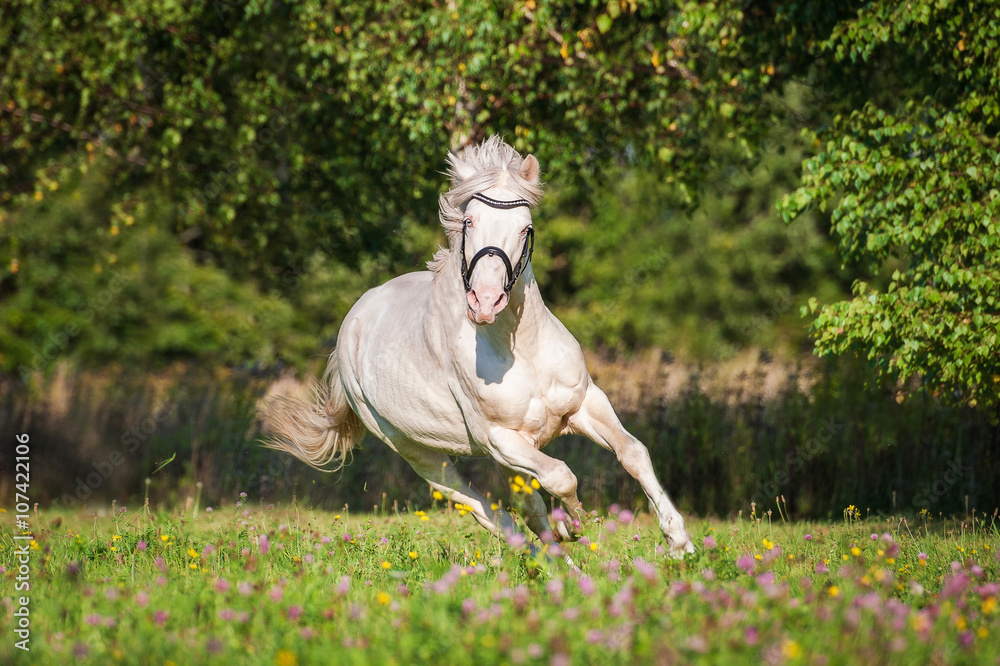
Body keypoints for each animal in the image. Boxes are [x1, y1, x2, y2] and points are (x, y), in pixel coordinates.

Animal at [262, 136, 694, 556]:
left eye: (525, 227)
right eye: (470, 220)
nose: (485, 302)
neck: (519, 350)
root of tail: (354, 321)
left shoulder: (585, 404)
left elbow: (633, 453)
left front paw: (680, 544)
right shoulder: (498, 438)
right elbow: (561, 477)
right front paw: (575, 523)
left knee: (525, 508)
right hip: (419, 452)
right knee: (490, 512)